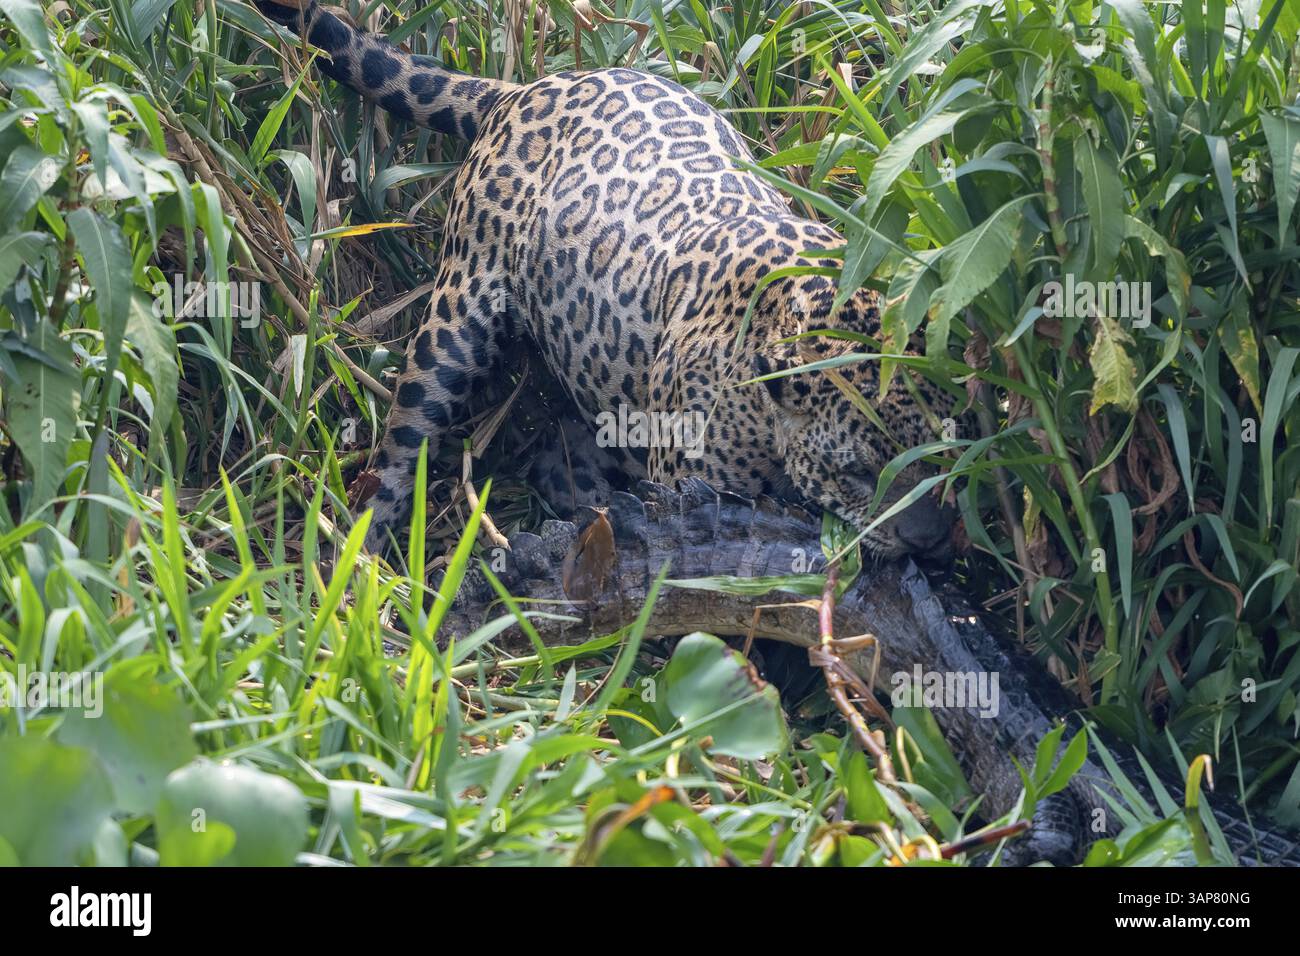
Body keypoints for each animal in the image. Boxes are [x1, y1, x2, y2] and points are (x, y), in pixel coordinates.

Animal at [255, 0, 959, 560]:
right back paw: (358, 567)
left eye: (947, 452)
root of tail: (523, 89)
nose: (931, 540)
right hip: (453, 325)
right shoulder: (691, 487)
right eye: (859, 473)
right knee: (399, 452)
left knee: (558, 450)